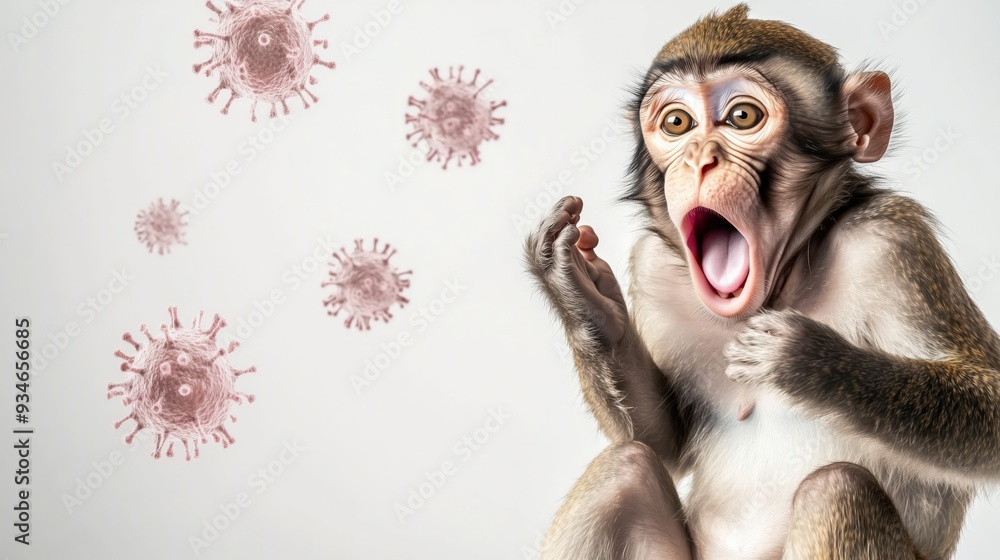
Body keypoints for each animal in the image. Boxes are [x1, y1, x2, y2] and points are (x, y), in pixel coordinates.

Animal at [524, 5, 1000, 559]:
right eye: (677, 123)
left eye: (742, 117)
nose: (699, 159)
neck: (783, 283)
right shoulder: (651, 265)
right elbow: (662, 442)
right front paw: (584, 299)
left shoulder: (892, 239)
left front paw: (809, 359)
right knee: (624, 466)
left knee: (836, 487)